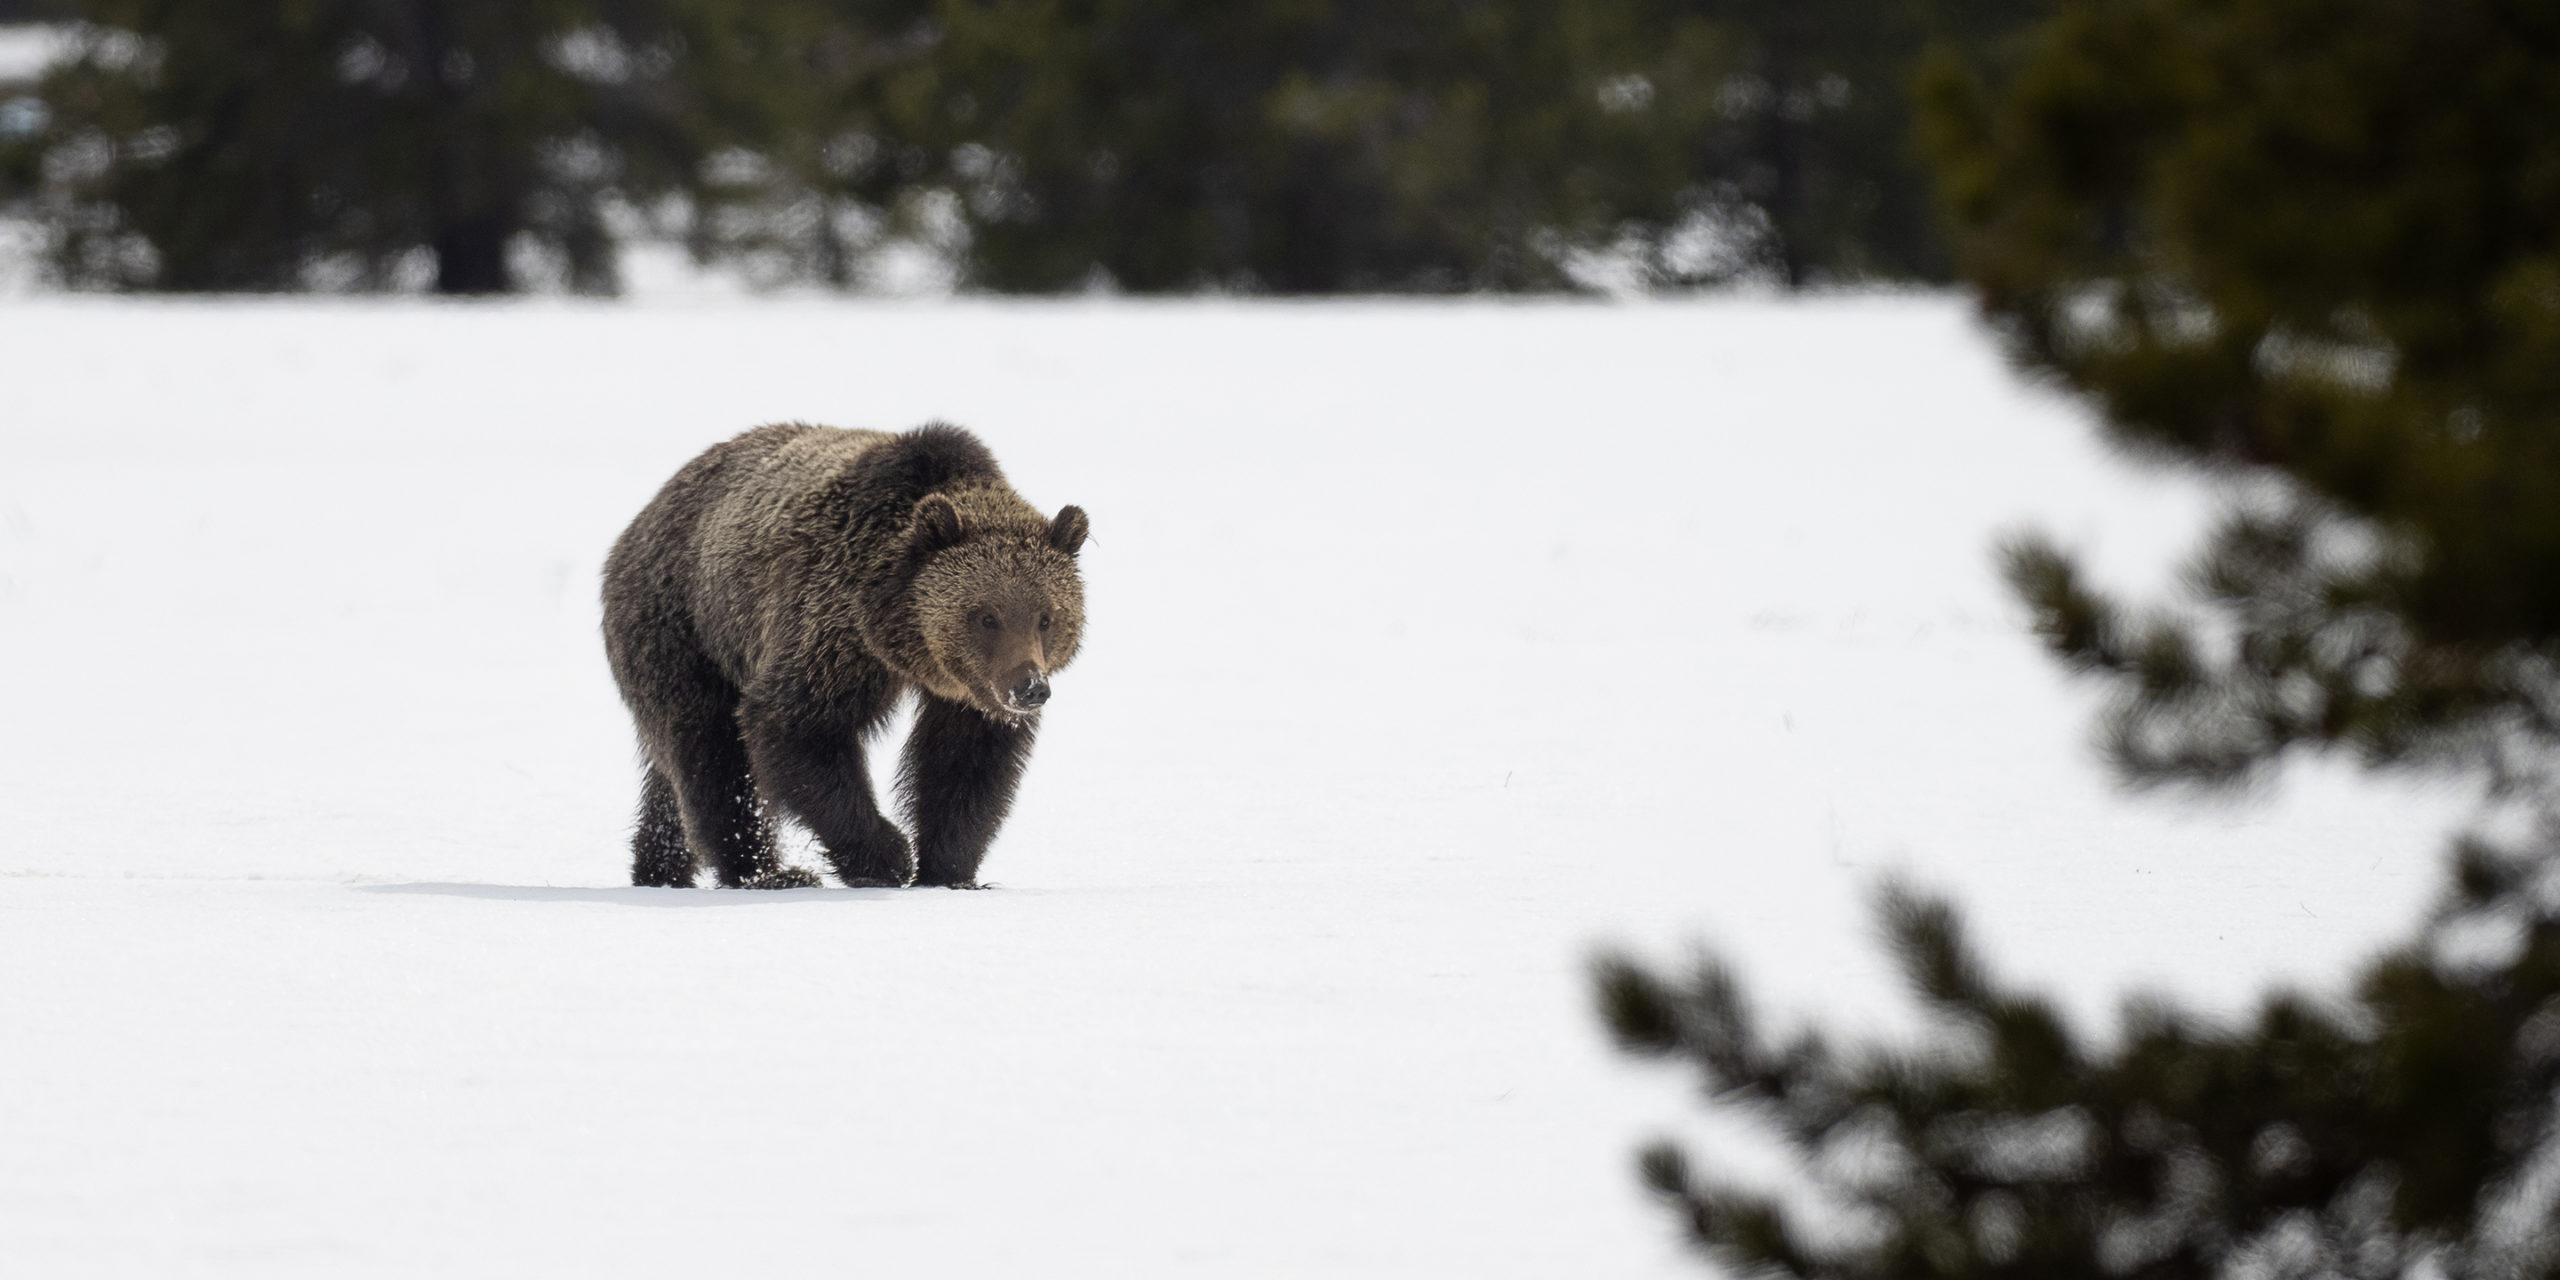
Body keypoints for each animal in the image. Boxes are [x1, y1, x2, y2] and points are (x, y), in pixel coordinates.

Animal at [601, 422, 1088, 889]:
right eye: (987, 616)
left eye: (1047, 617)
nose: (1030, 688)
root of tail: (645, 516)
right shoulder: (831, 628)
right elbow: (795, 726)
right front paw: (885, 856)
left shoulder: (968, 694)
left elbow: (964, 764)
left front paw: (949, 871)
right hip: (688, 629)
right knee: (711, 749)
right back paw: (767, 874)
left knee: (671, 775)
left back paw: (659, 867)